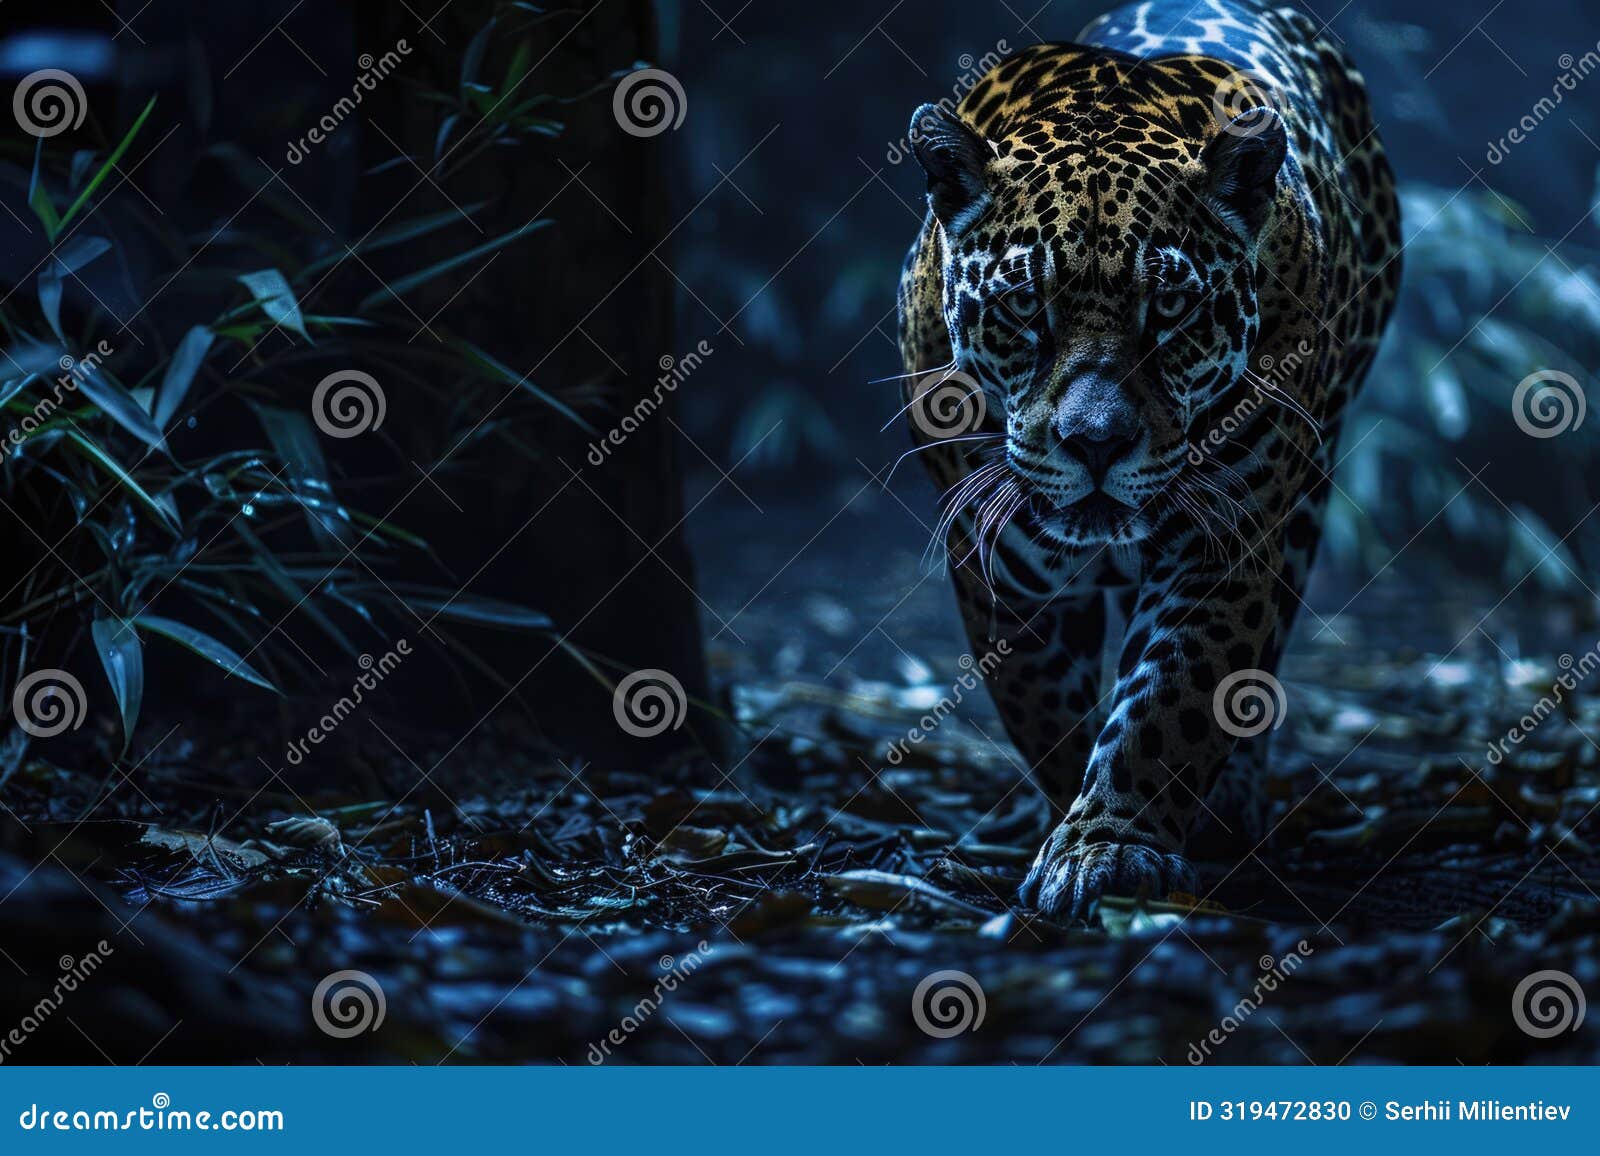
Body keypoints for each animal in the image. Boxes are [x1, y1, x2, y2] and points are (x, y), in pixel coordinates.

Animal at [896, 0, 1401, 920]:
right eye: (1023, 307)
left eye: (1169, 309)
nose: (1096, 441)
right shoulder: (999, 559)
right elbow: (1044, 706)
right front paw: (1072, 814)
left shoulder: (1224, 541)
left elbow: (1174, 696)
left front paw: (1111, 847)